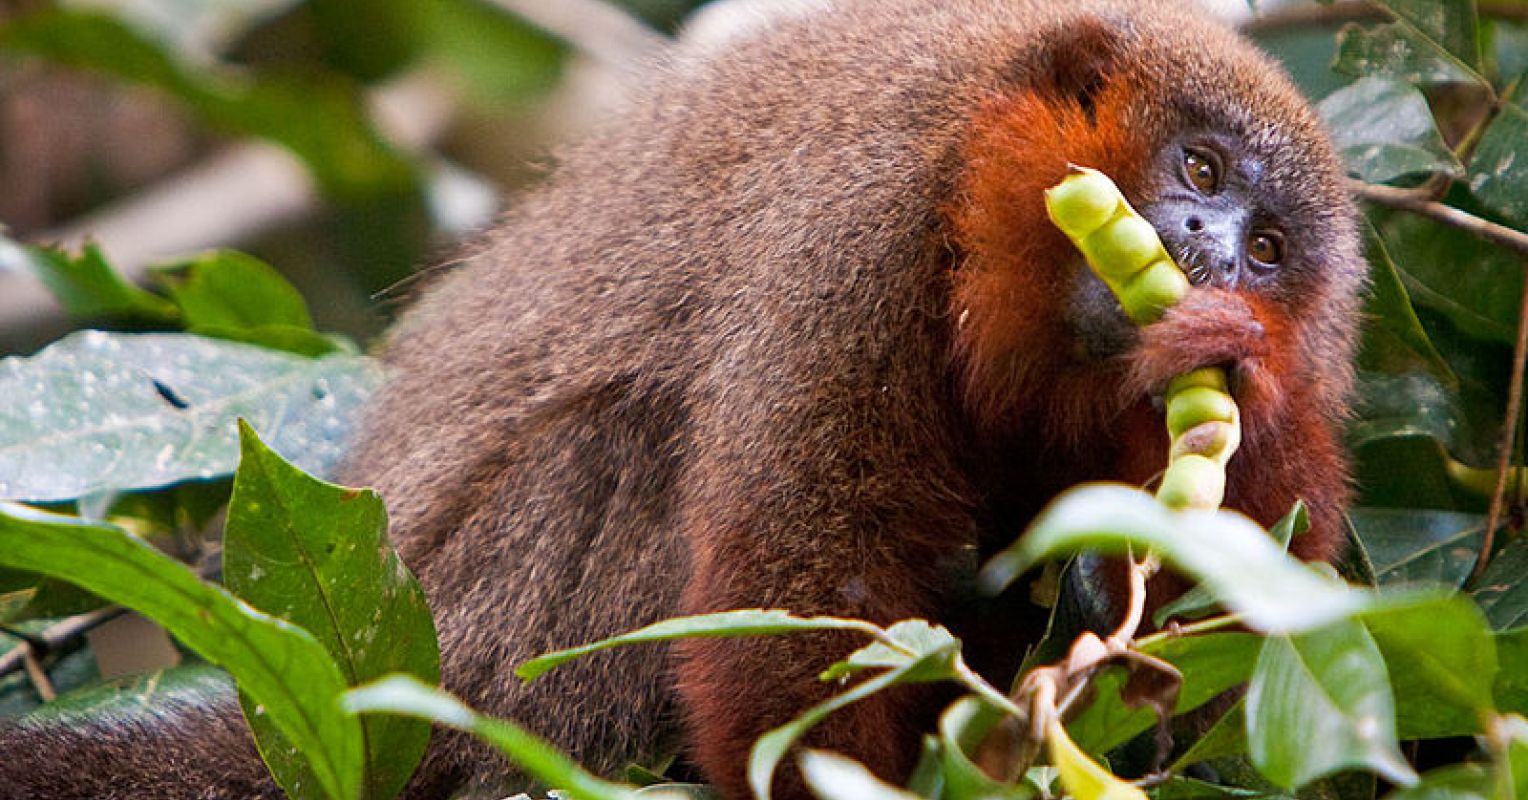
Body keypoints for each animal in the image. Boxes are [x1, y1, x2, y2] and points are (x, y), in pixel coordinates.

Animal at [0, 0, 1365, 797]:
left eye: (1269, 250)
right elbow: (796, 571)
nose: (1206, 250)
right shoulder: (859, 222)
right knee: (630, 439)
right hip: (490, 638)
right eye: (1200, 168)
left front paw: (1232, 371)